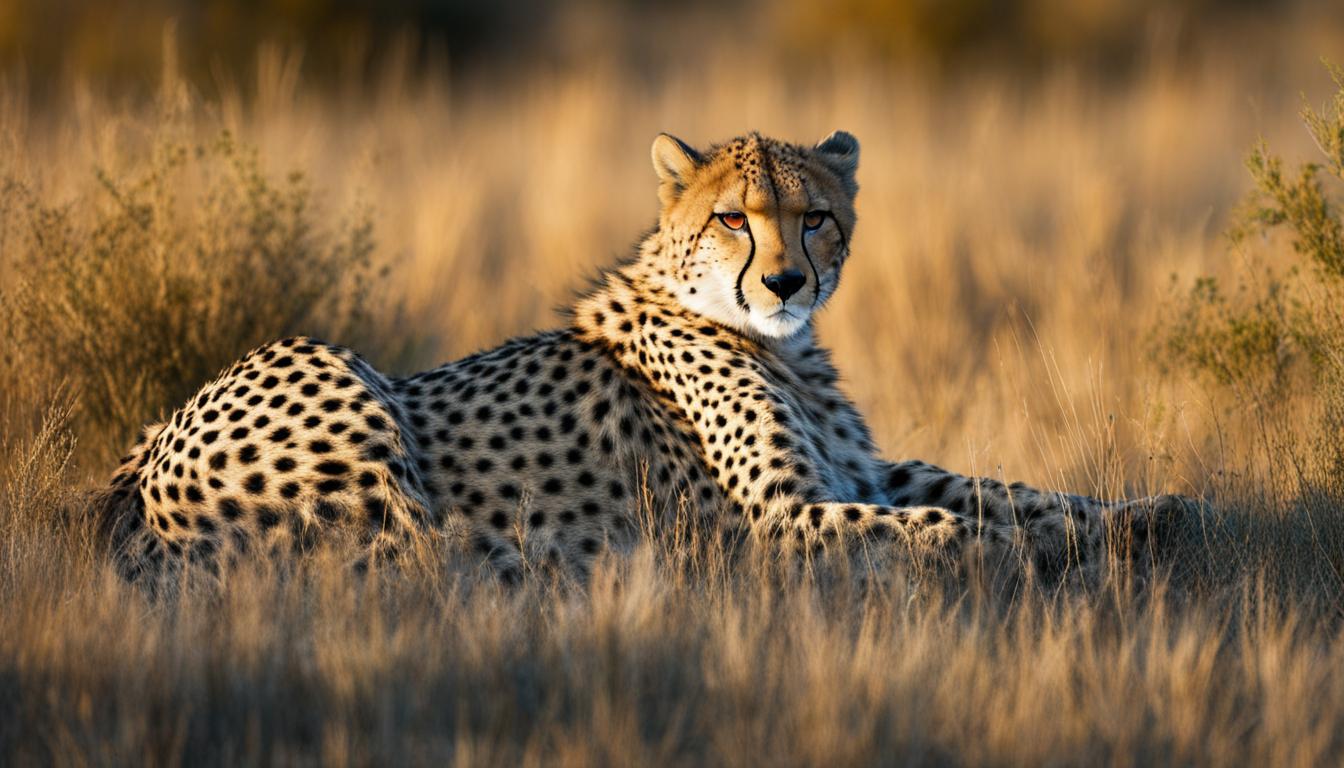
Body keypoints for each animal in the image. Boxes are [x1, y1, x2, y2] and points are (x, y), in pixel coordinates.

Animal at [94, 130, 1193, 589]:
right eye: (732, 219)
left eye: (816, 216)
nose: (785, 282)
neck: (774, 346)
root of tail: (132, 473)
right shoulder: (782, 519)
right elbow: (945, 526)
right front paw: (1041, 553)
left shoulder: (866, 471)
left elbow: (1000, 486)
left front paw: (1145, 513)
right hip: (334, 368)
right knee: (423, 560)